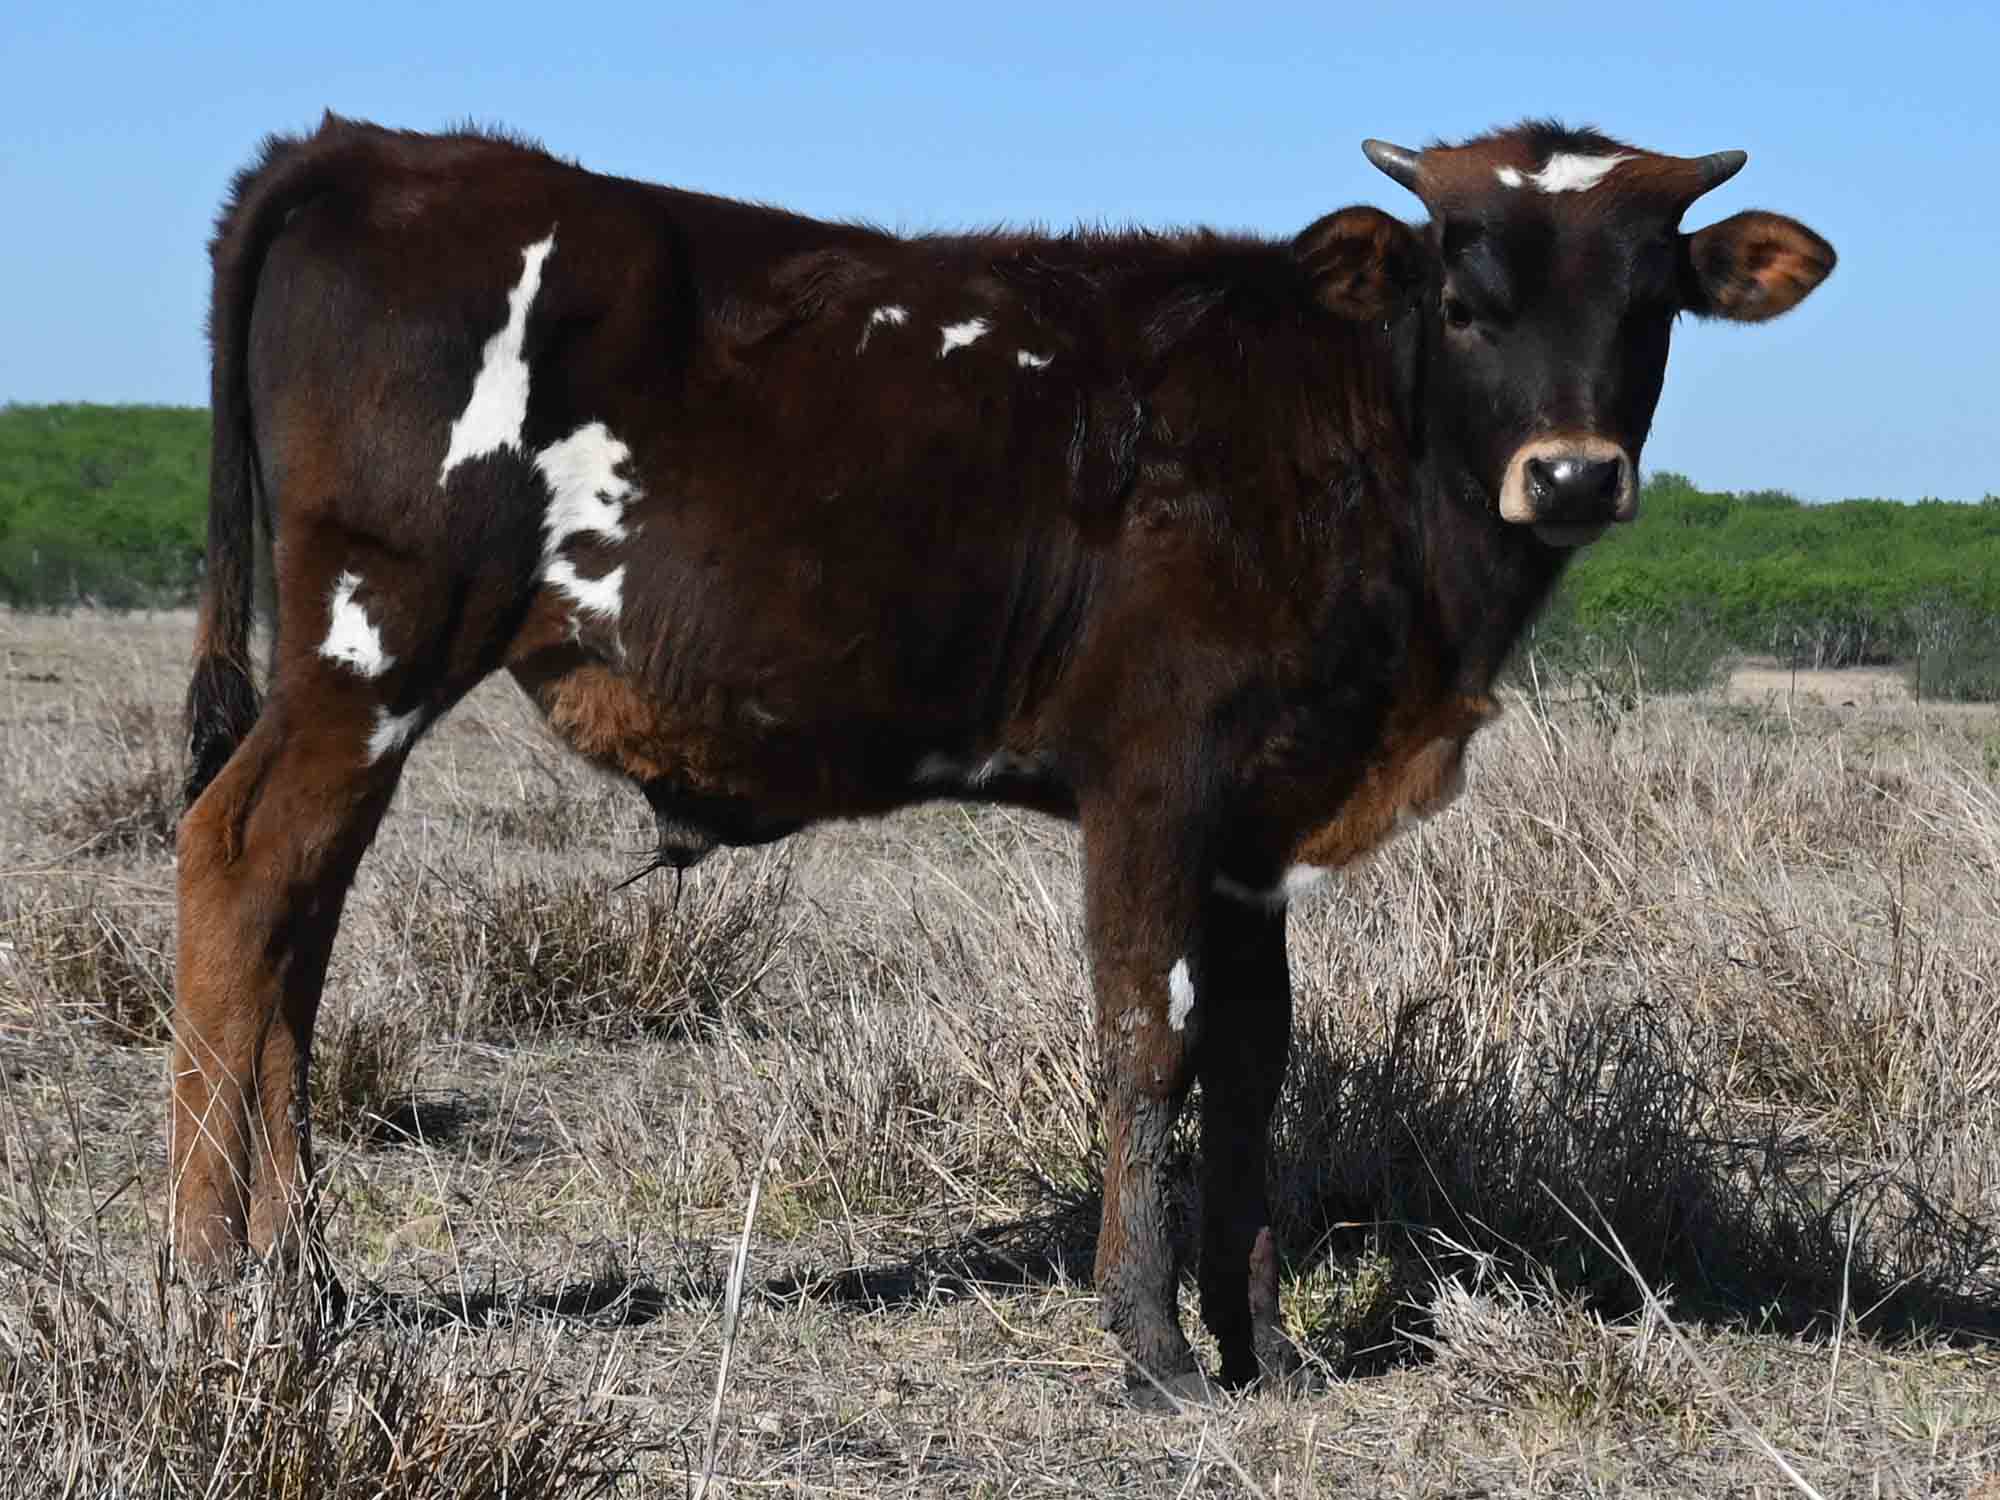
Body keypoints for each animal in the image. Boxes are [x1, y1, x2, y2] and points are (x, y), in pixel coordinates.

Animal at [172, 114, 1833, 1402]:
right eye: (1469, 298)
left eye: (1651, 303)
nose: (1573, 474)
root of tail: (371, 151)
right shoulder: (1153, 784)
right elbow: (1149, 1041)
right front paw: (1154, 1347)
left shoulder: (1259, 822)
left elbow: (1257, 1062)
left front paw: (1262, 1344)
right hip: (379, 641)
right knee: (240, 869)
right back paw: (206, 1283)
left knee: (302, 926)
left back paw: (300, 1280)